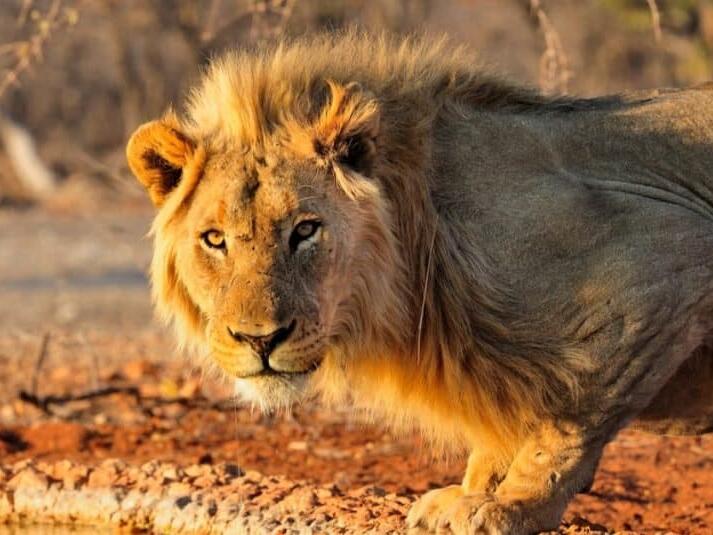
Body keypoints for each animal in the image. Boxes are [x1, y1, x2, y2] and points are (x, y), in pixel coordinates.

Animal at [126, 31, 713, 534]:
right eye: (214, 239)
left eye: (306, 230)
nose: (259, 340)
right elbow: (512, 422)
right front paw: (475, 490)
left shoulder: (665, 254)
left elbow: (565, 419)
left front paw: (513, 505)